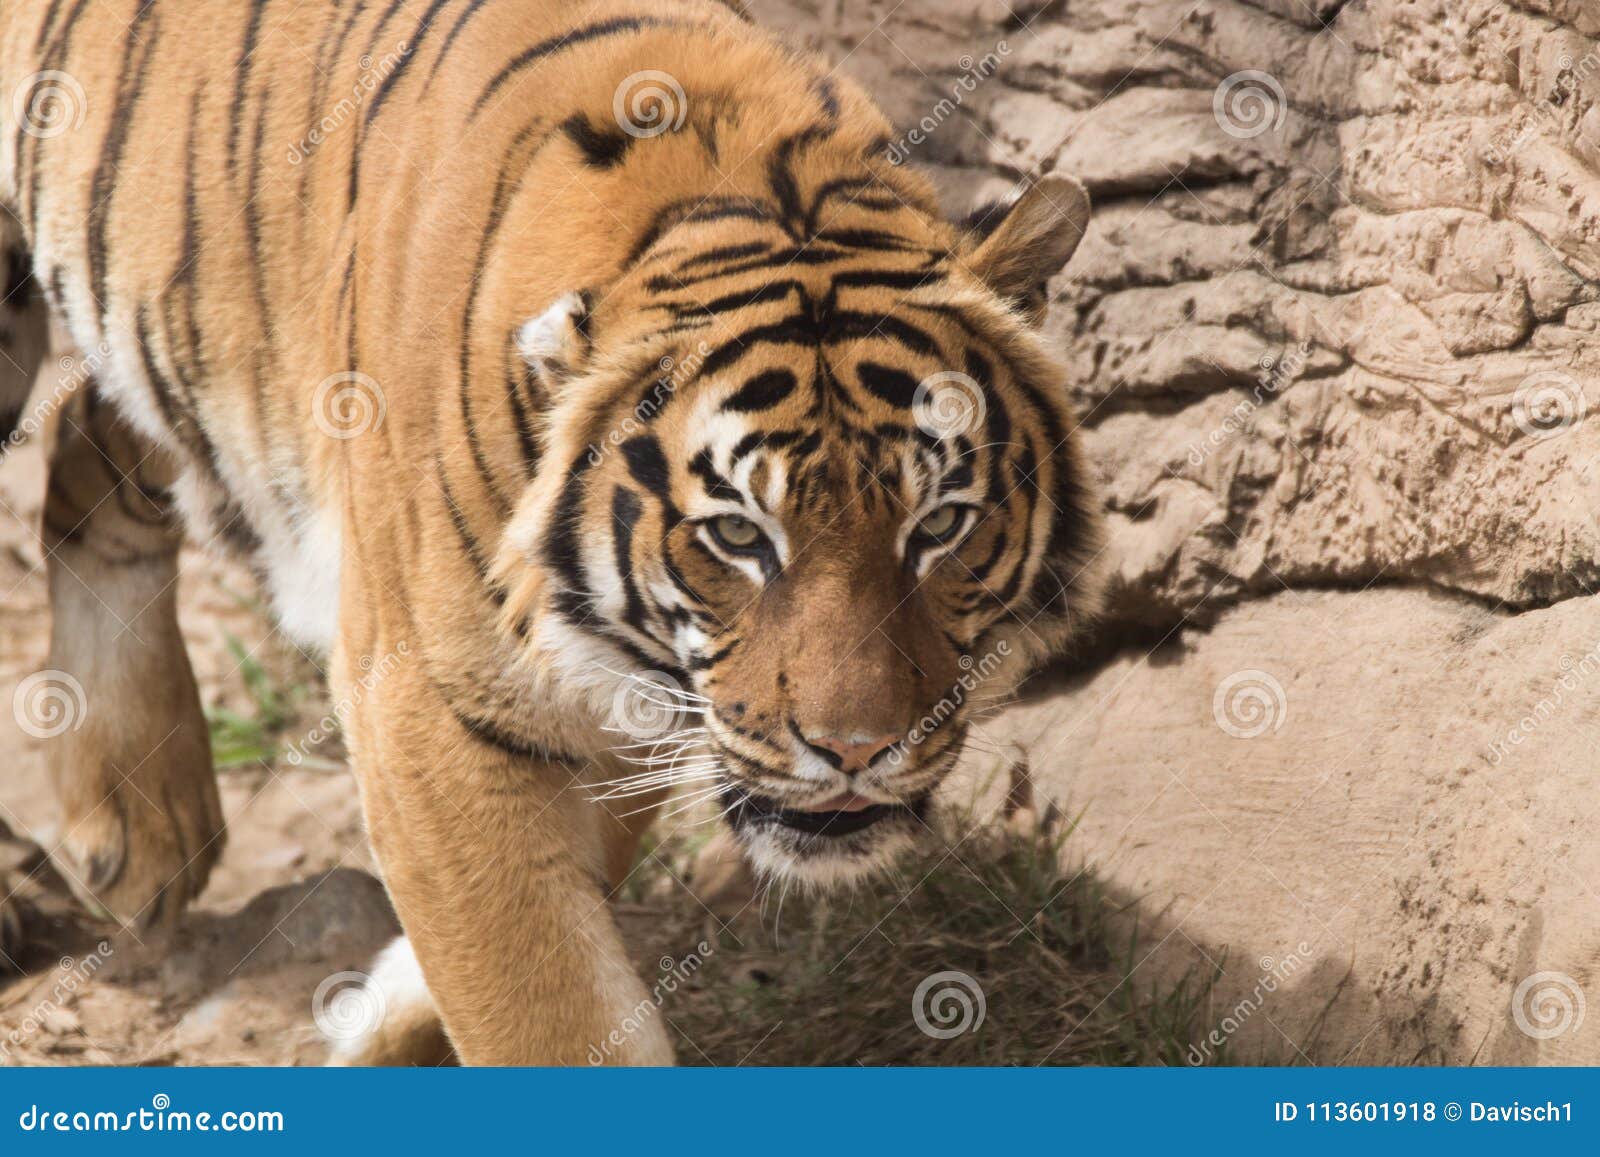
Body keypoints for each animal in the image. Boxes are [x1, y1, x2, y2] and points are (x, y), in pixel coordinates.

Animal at [0, 0, 1103, 1064]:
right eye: (739, 536)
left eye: (941, 522)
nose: (857, 749)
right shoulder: (425, 698)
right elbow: (543, 998)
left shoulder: (614, 694)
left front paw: (380, 1015)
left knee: (93, 432)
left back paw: (137, 808)